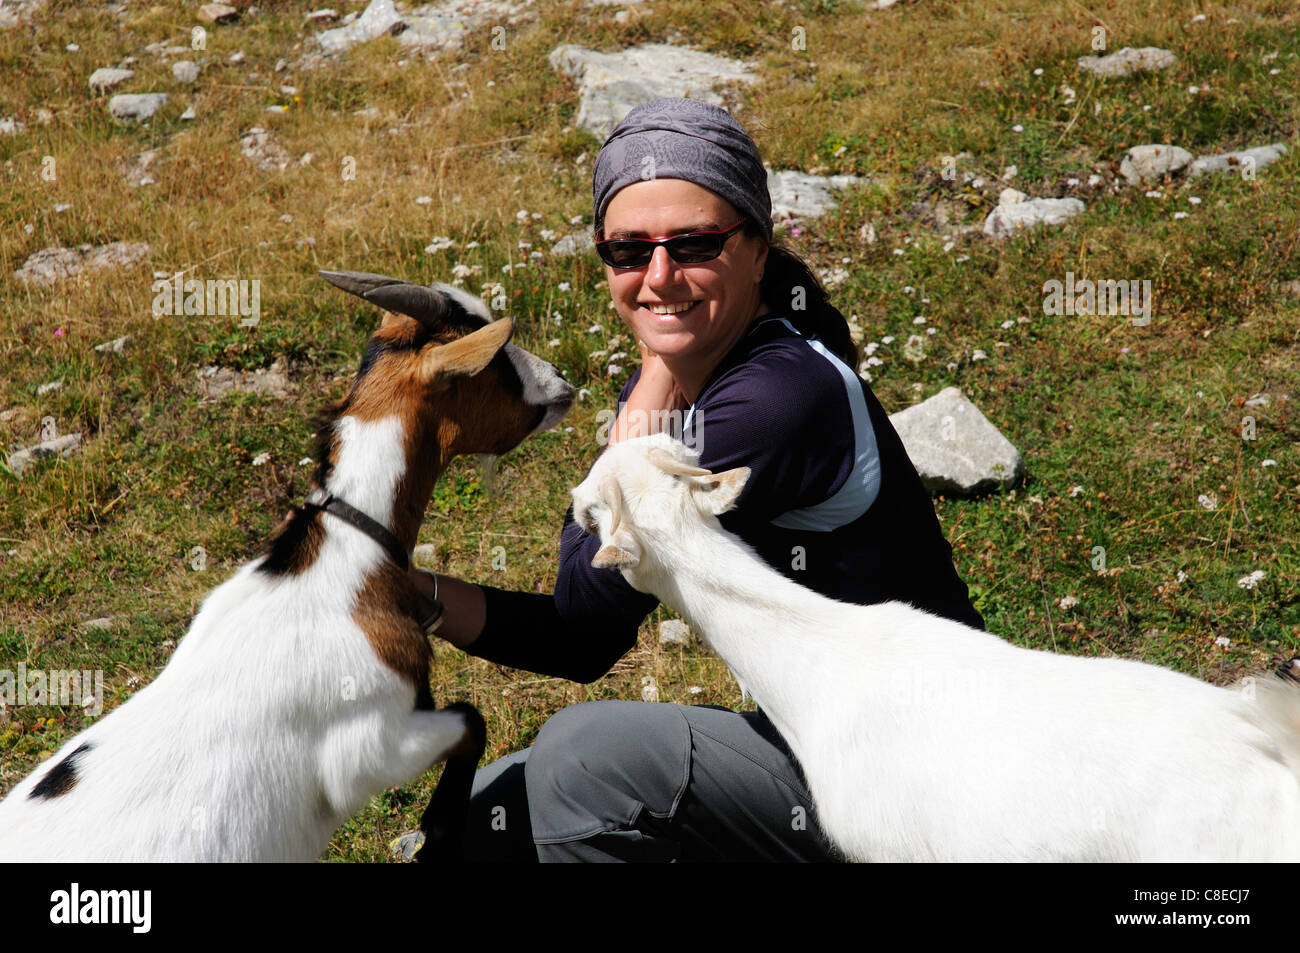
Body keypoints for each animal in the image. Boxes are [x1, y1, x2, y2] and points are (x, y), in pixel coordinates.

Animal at [0, 271, 574, 862]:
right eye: (495, 354)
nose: (561, 381)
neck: (337, 559)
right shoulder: (373, 745)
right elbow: (470, 720)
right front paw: (437, 833)